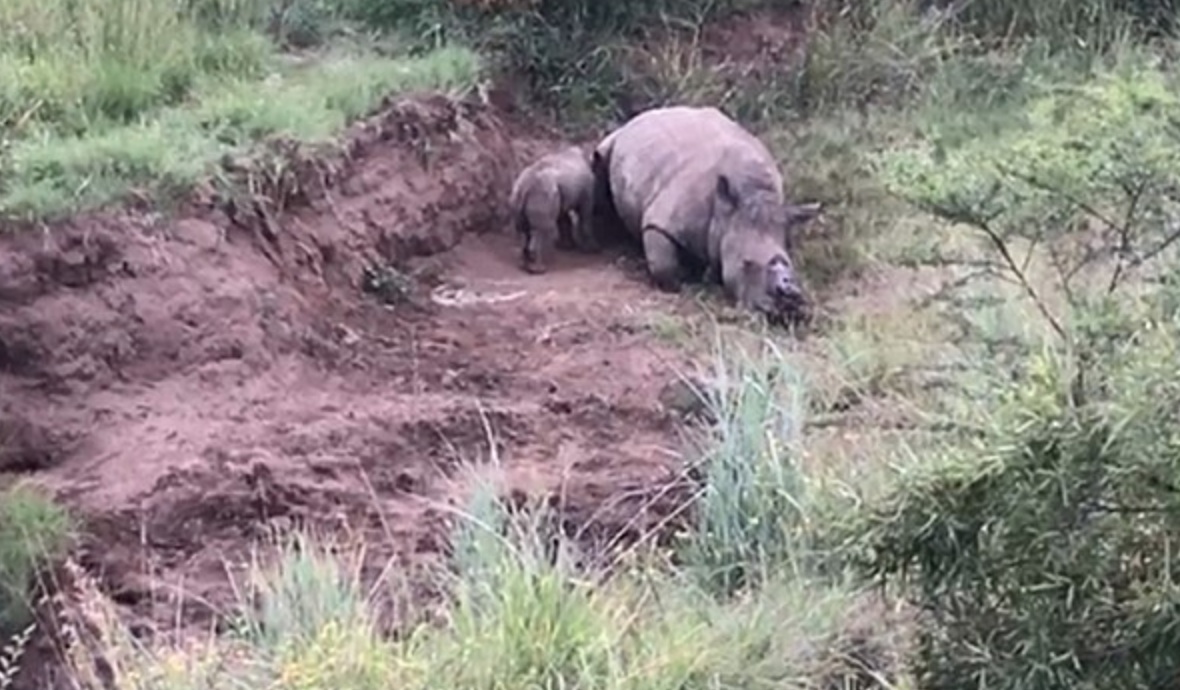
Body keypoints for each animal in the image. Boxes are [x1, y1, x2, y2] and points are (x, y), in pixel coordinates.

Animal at [509, 145, 598, 274]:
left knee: (524, 229)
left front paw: (566, 247)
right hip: (542, 192)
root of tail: (526, 186)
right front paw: (592, 250)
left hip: (518, 195)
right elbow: (585, 218)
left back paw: (523, 265)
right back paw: (539, 270)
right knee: (542, 228)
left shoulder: (562, 195)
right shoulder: (587, 194)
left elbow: (564, 220)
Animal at [591, 105, 822, 323]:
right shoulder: (661, 222)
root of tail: (646, 114)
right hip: (616, 141)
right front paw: (689, 281)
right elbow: (664, 264)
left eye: (789, 263)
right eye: (746, 263)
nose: (788, 311)